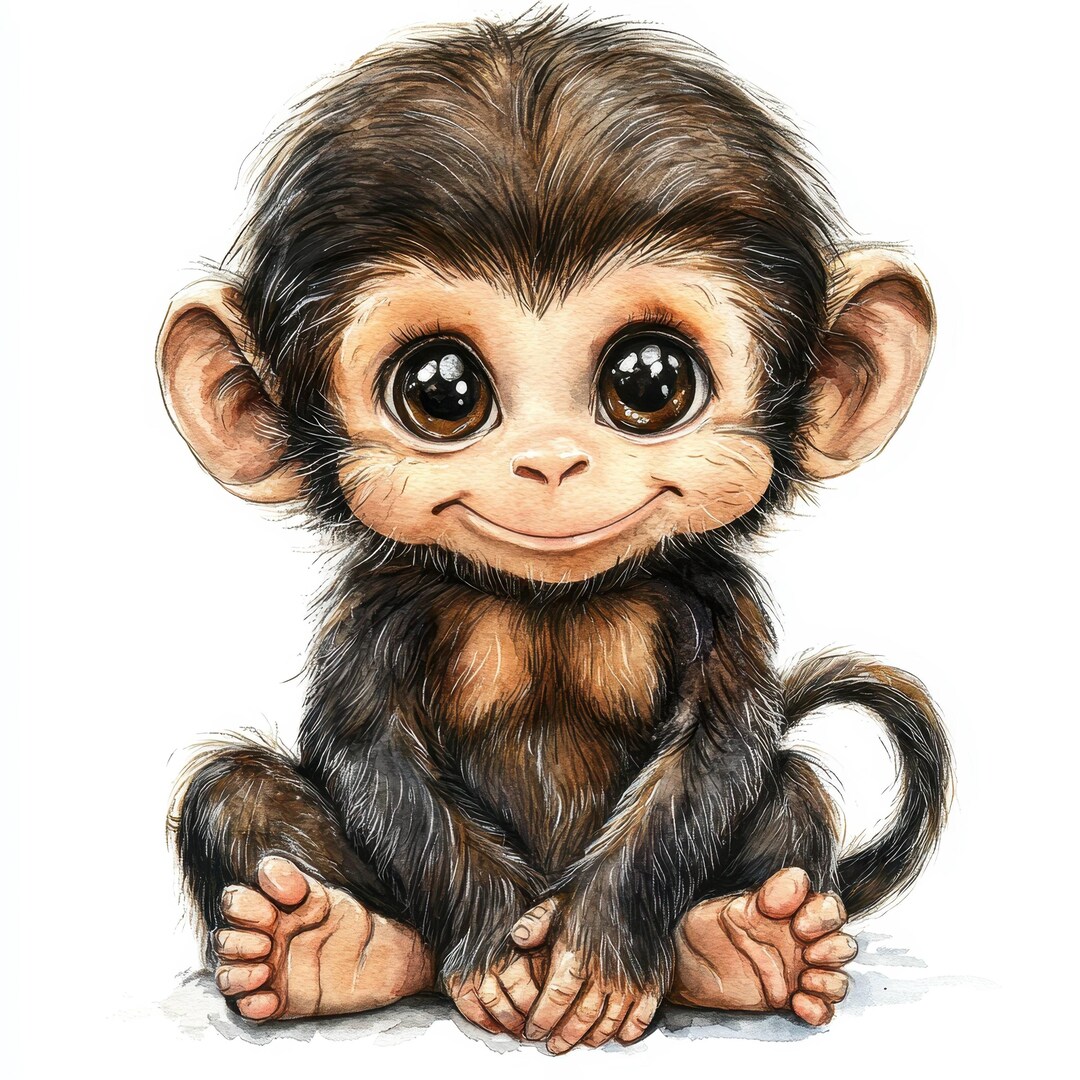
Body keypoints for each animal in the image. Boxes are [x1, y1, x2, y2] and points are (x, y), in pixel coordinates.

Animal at [157, 9, 952, 1053]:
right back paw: (324, 947)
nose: (551, 460)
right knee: (231, 790)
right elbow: (366, 746)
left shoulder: (717, 595)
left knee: (790, 789)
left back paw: (750, 945)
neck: (547, 602)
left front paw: (602, 951)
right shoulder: (378, 601)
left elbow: (721, 744)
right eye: (441, 390)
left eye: (650, 379)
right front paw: (499, 942)